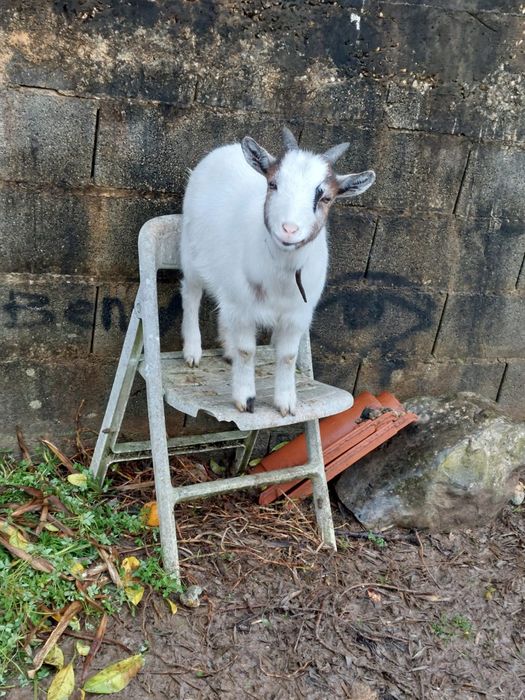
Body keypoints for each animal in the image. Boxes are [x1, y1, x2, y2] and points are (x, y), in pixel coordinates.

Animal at [180, 127, 375, 416]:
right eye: (273, 184)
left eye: (325, 197)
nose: (289, 230)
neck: (281, 276)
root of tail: (226, 148)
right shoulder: (244, 308)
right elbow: (247, 351)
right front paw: (245, 398)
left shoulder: (297, 315)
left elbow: (288, 356)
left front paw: (286, 403)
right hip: (191, 253)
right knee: (191, 294)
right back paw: (192, 351)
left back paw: (227, 349)